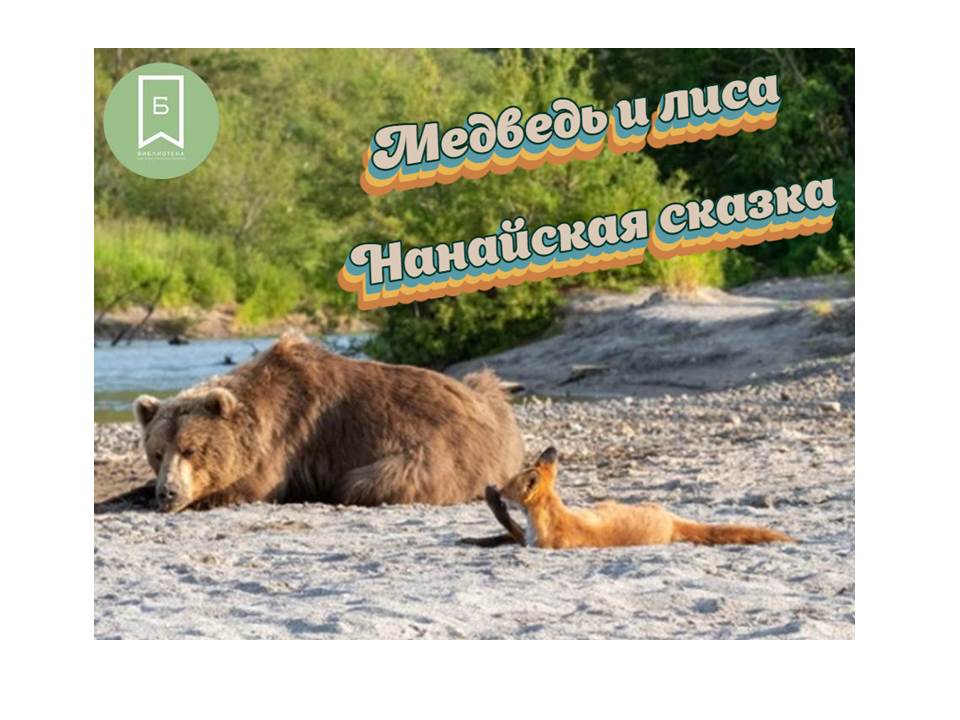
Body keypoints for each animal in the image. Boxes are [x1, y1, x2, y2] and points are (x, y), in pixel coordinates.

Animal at [133, 330, 525, 512]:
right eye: (157, 452)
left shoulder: (285, 440)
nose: (168, 491)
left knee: (364, 482)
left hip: (434, 454)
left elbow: (251, 487)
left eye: (192, 449)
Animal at [464, 447, 794, 549]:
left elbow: (508, 528)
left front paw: (492, 502)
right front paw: (475, 539)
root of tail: (670, 520)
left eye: (508, 484)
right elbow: (503, 535)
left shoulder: (537, 545)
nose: (495, 487)